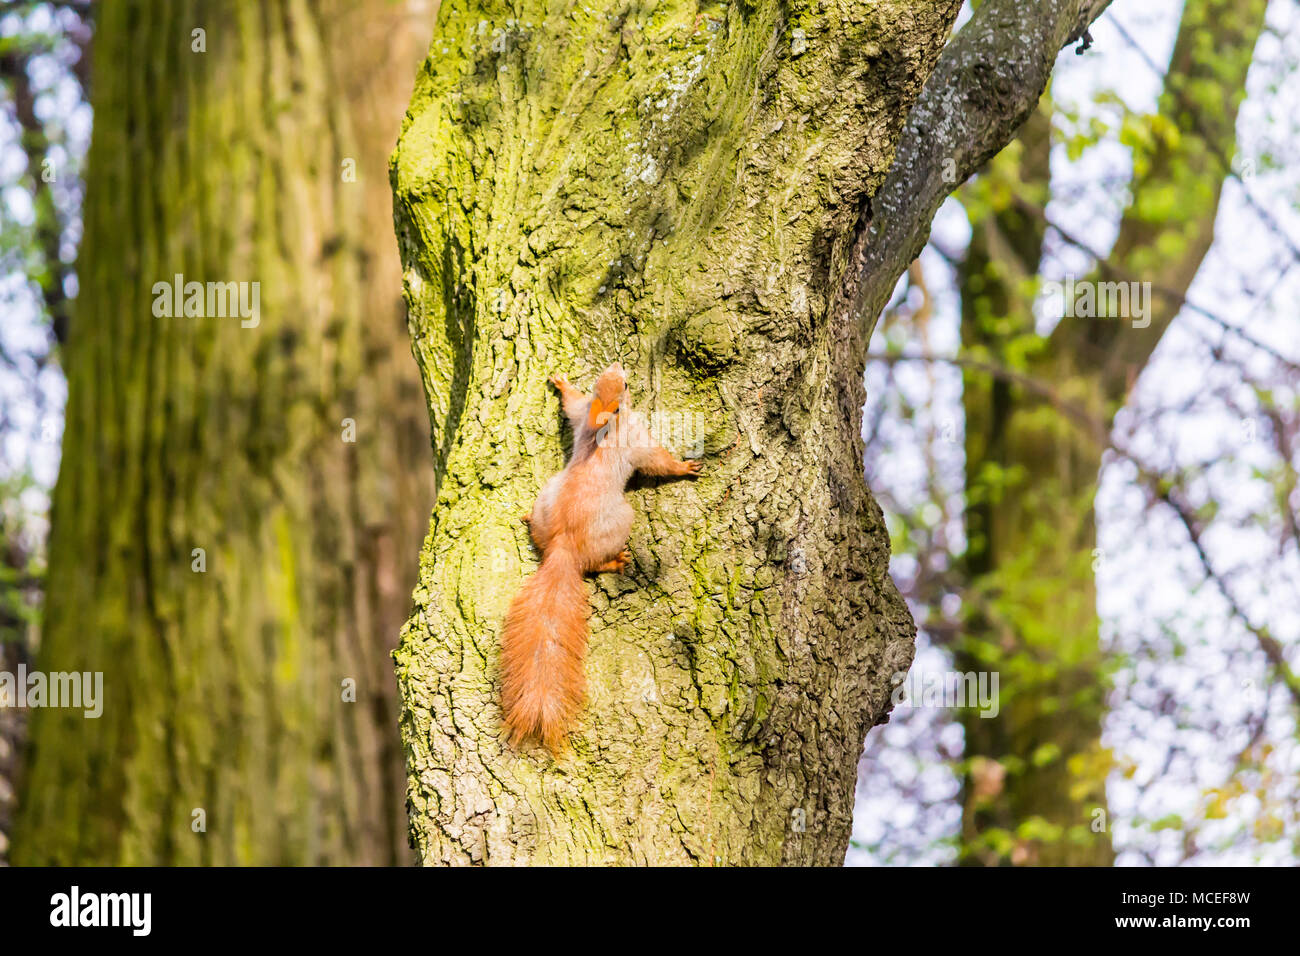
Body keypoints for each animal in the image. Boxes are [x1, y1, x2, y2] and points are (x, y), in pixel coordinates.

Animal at [501, 361, 702, 752]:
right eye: (621, 388)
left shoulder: (582, 413)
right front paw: (683, 468)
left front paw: (562, 384)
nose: (619, 366)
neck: (604, 423)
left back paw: (529, 520)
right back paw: (614, 562)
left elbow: (571, 405)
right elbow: (658, 462)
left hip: (546, 496)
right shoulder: (637, 440)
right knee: (593, 565)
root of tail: (563, 548)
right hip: (621, 520)